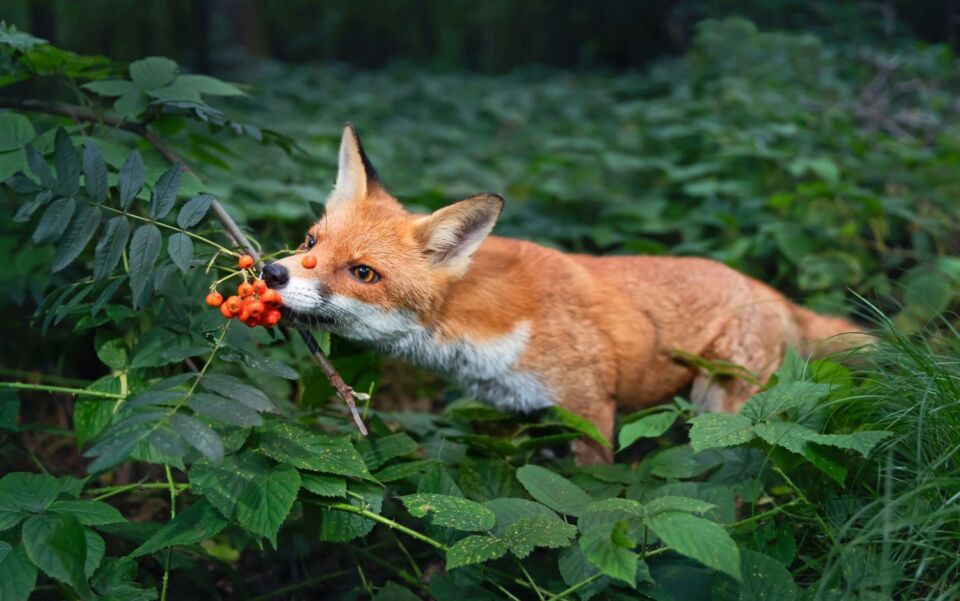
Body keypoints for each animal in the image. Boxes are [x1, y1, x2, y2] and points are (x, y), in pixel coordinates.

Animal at [262, 124, 863, 464]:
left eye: (363, 273)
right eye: (310, 242)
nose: (271, 273)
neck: (476, 325)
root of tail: (766, 289)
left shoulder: (591, 408)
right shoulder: (517, 417)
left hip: (723, 407)